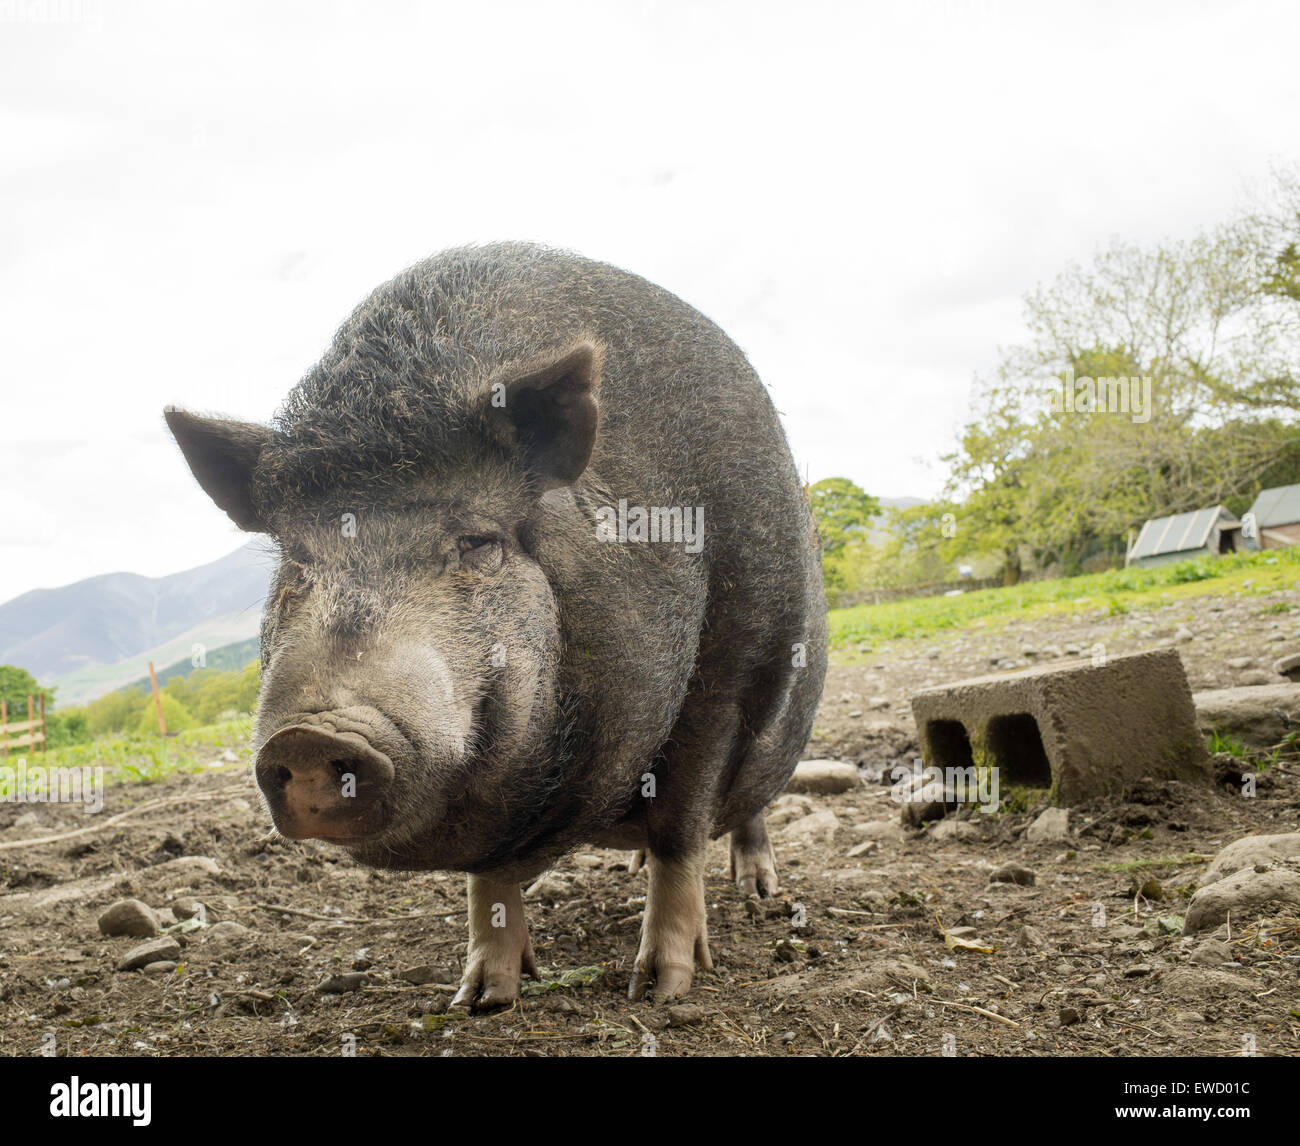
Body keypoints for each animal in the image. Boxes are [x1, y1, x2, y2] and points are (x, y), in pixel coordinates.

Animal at [164, 242, 826, 1008]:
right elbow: (491, 878)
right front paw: (478, 1000)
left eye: (479, 542)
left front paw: (661, 989)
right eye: (297, 563)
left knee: (747, 809)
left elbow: (680, 830)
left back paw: (756, 893)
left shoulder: (726, 671)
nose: (309, 735)